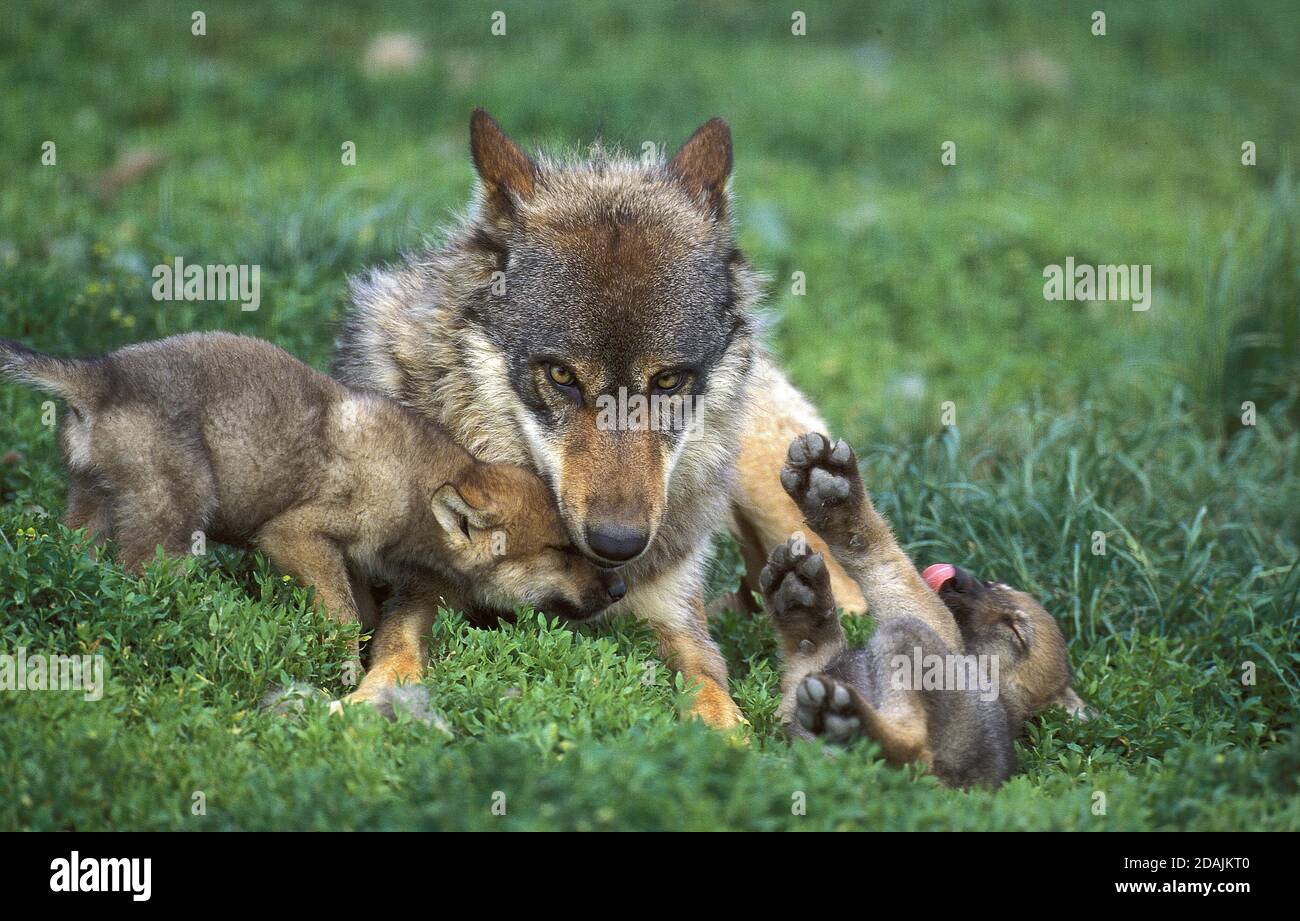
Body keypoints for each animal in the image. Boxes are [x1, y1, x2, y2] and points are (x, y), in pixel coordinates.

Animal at [0, 333, 624, 687]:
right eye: (559, 551)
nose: (620, 589)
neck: (415, 485)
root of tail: (99, 376)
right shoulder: (295, 535)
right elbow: (344, 618)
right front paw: (341, 676)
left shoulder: (348, 562)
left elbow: (366, 615)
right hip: (173, 520)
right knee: (141, 586)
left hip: (90, 509)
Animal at [333, 110, 946, 728]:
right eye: (561, 375)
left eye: (668, 381)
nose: (620, 544)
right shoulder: (420, 591)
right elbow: (395, 648)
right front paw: (368, 702)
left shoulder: (676, 621)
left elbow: (713, 691)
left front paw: (730, 733)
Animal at [761, 432, 1088, 787]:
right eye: (997, 585)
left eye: (1013, 630)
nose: (957, 577)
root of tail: (948, 782)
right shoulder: (795, 696)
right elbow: (808, 649)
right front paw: (801, 598)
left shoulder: (933, 624)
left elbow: (886, 561)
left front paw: (839, 499)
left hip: (905, 639)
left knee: (909, 749)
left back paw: (849, 721)